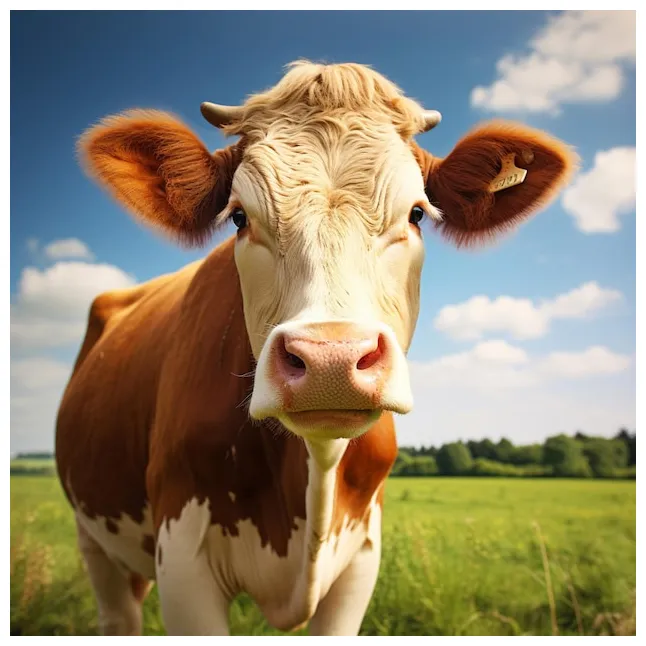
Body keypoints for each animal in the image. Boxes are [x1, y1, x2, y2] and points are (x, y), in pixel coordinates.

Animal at [55, 61, 577, 636]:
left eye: (417, 214)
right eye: (239, 217)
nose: (332, 360)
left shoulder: (361, 560)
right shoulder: (183, 562)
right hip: (91, 537)